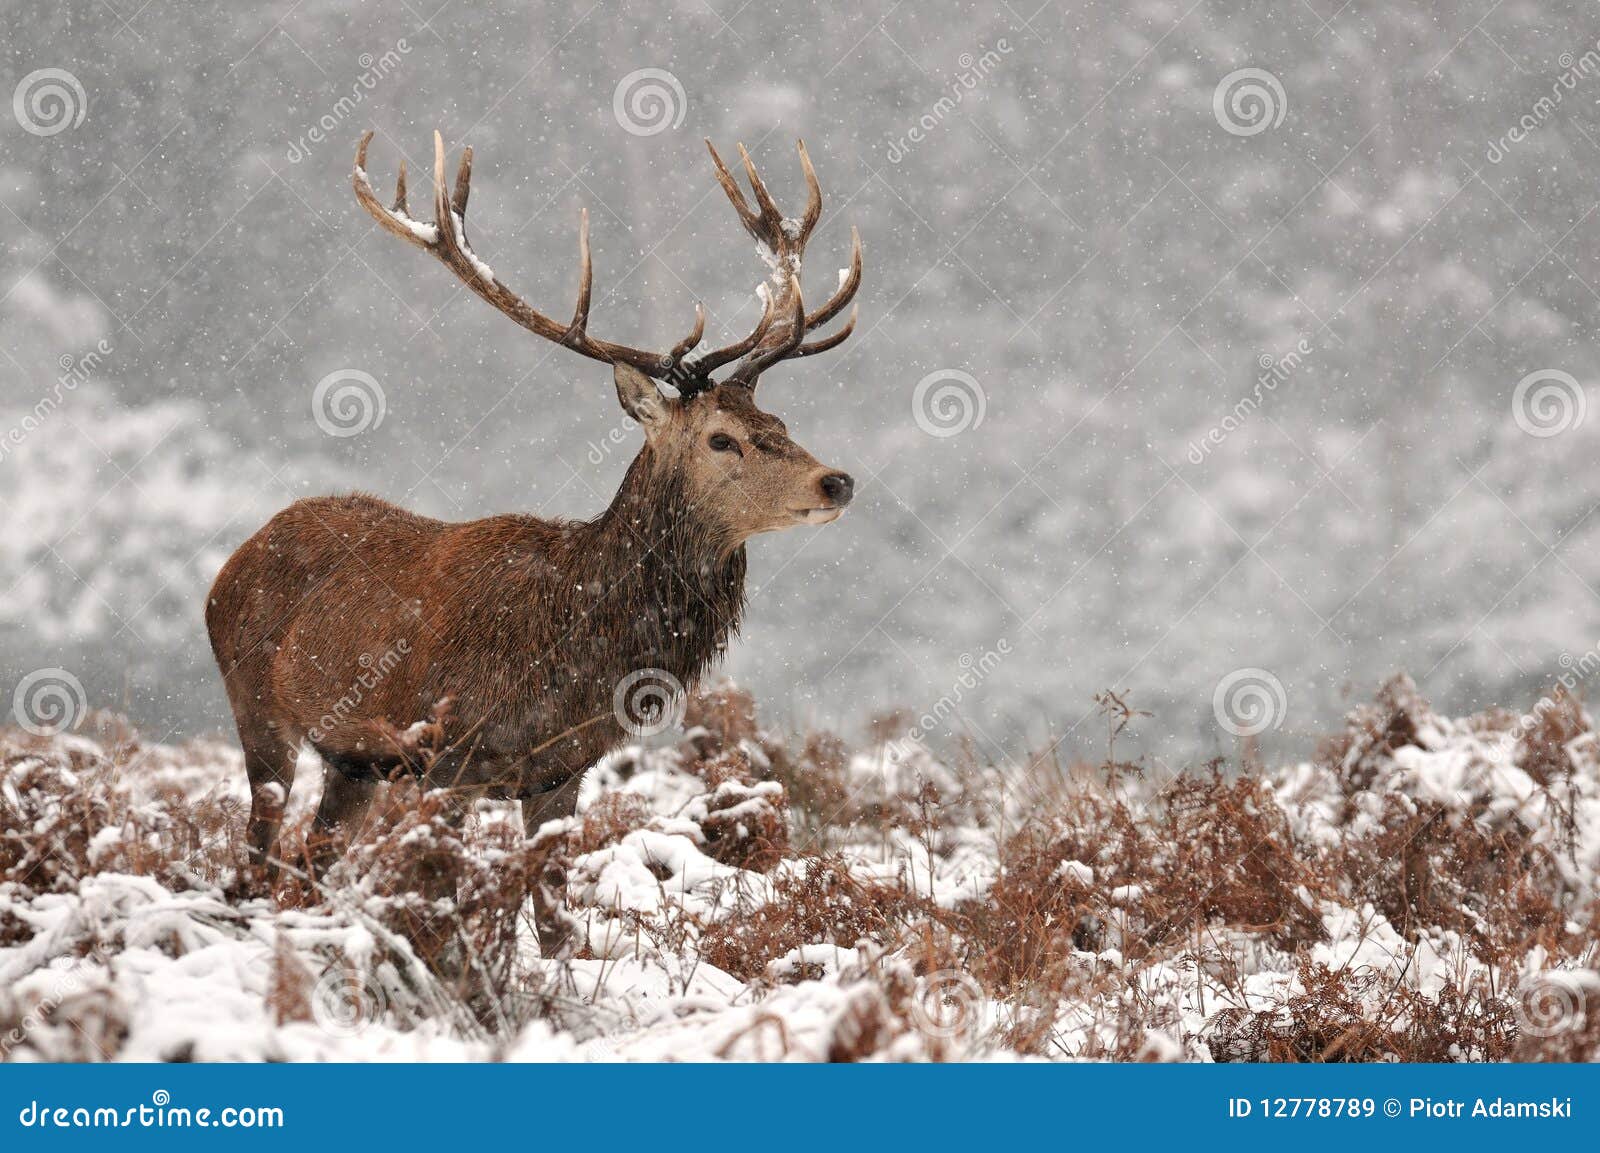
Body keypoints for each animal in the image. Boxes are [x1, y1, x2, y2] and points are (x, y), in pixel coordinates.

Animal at [205, 130, 862, 955]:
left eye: (778, 422)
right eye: (723, 438)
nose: (836, 481)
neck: (578, 650)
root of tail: (232, 562)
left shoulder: (562, 770)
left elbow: (551, 918)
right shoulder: (448, 753)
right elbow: (441, 893)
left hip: (353, 759)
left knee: (310, 857)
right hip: (258, 708)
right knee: (257, 853)